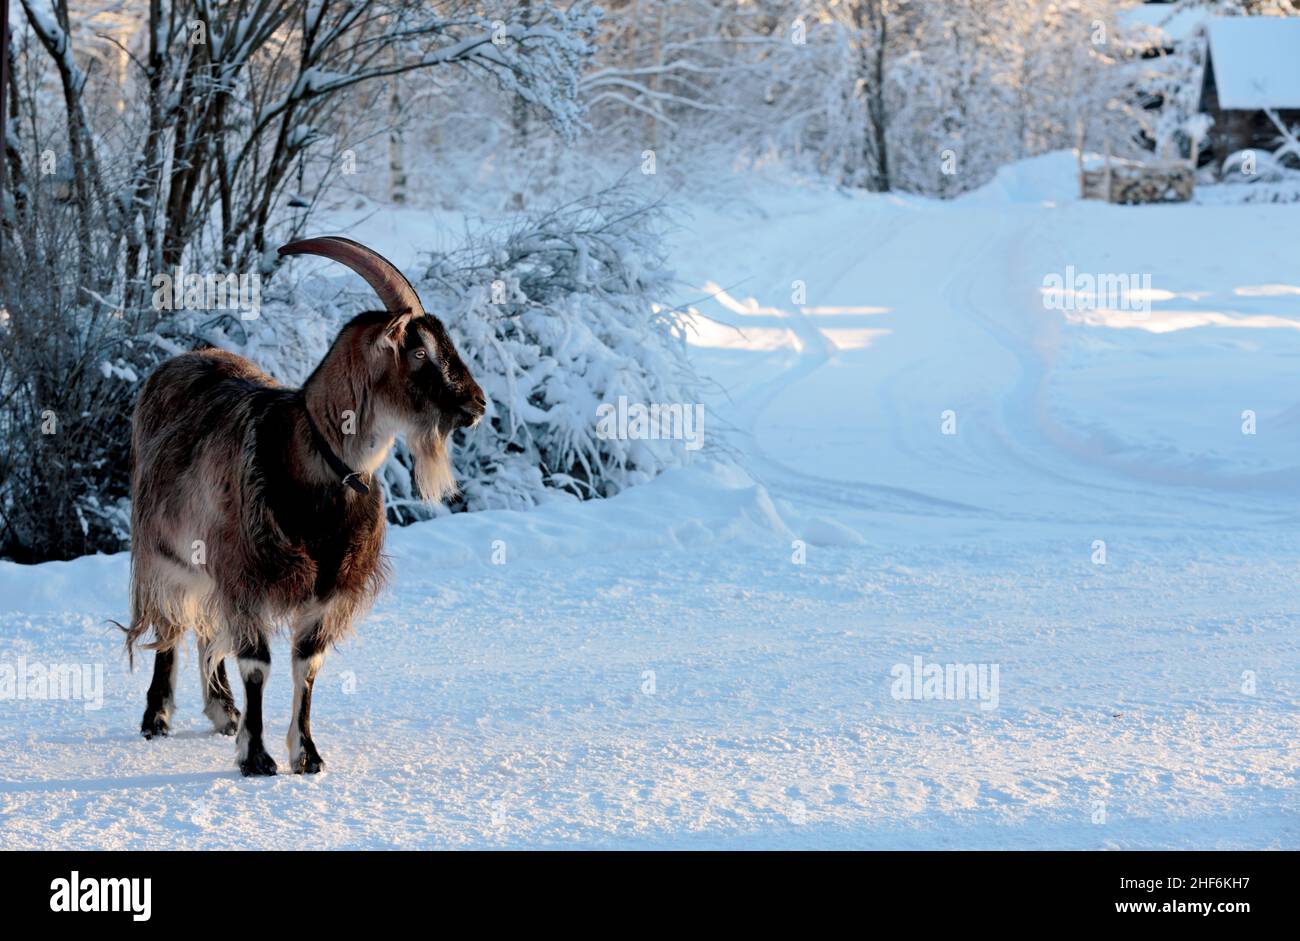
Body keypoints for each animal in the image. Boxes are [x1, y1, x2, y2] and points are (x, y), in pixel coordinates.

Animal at [125, 237, 485, 775]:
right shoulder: (247, 571)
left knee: (208, 628)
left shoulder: (328, 584)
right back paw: (157, 718)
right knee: (171, 625)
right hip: (163, 550)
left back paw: (222, 710)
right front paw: (257, 757)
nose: (477, 403)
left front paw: (306, 754)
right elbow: (257, 664)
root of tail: (181, 361)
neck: (313, 456)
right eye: (420, 351)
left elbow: (307, 663)